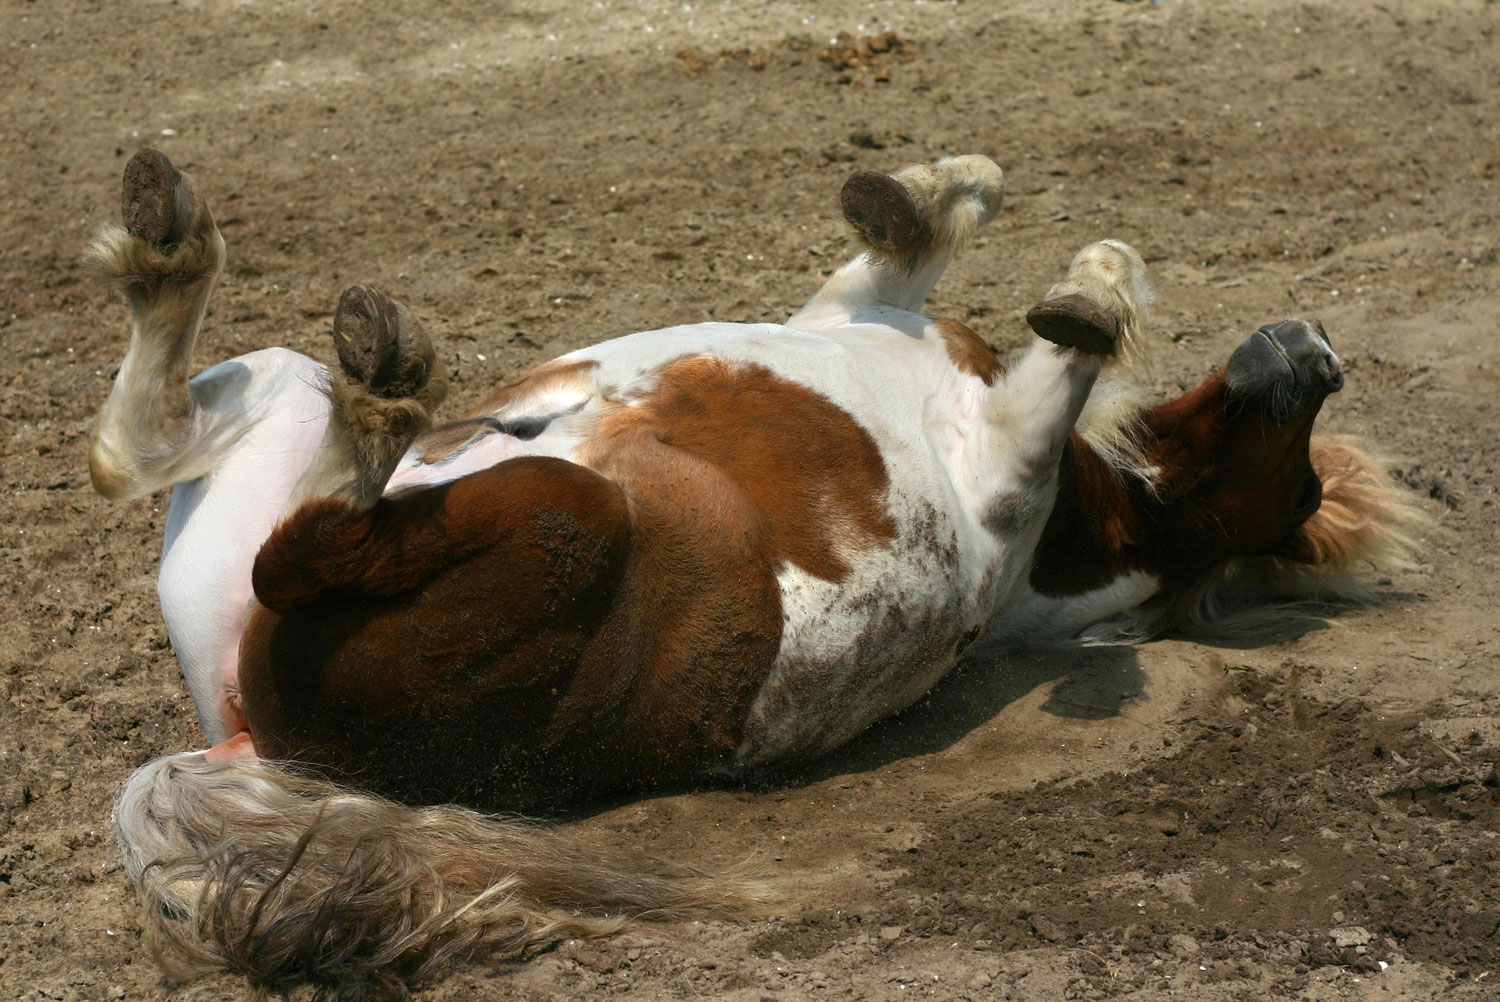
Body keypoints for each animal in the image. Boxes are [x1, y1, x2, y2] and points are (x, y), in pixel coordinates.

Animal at [86, 149, 1423, 1000]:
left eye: (1301, 496)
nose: (1316, 348)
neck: (1062, 550)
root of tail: (262, 741)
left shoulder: (1005, 466)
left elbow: (1089, 298)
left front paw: (1089, 294)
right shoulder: (849, 317)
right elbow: (930, 227)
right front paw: (920, 193)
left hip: (554, 511)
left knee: (295, 527)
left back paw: (379, 398)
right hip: (276, 405)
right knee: (143, 447)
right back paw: (193, 258)